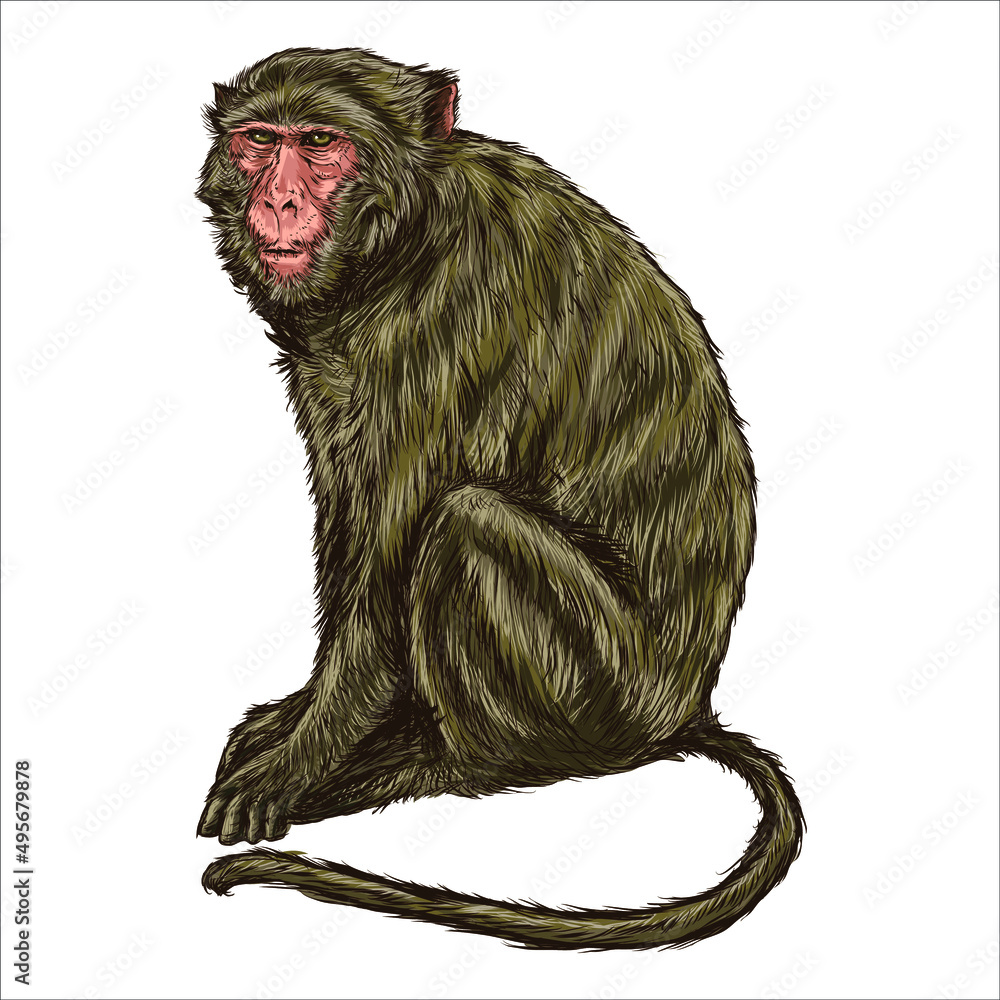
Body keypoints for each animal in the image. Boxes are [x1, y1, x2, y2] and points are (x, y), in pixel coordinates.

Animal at [195, 47, 804, 951]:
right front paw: (292, 718)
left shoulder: (439, 323)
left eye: (321, 143)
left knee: (467, 523)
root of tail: (681, 712)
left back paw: (434, 763)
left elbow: (390, 554)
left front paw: (298, 763)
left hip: (599, 691)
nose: (280, 200)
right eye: (259, 142)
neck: (397, 242)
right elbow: (349, 516)